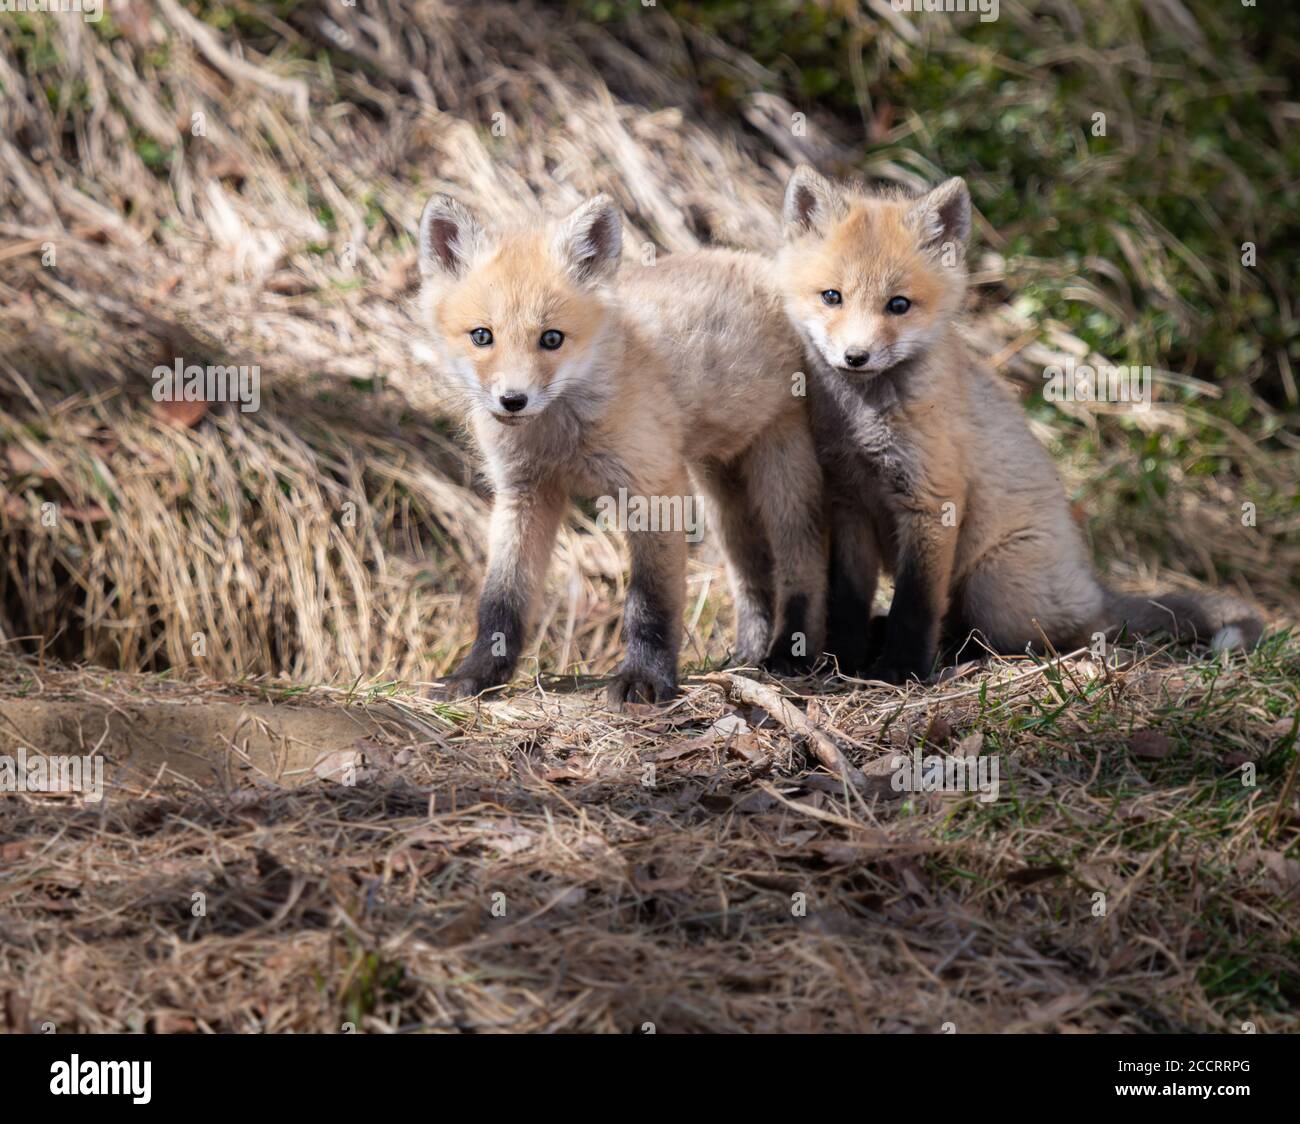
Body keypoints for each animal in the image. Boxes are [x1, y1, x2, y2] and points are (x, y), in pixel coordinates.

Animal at [416, 191, 825, 706]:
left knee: (803, 564)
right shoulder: (524, 493)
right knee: (752, 575)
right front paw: (478, 674)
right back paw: (746, 657)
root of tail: (762, 264)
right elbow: (502, 599)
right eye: (482, 336)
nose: (512, 400)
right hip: (722, 491)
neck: (561, 439)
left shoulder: (654, 487)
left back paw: (789, 657)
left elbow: (650, 601)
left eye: (551, 338)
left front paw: (645, 679)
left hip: (782, 473)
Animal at [777, 165, 1264, 683]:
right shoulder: (849, 504)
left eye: (899, 305)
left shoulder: (933, 501)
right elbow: (847, 601)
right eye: (832, 297)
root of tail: (1094, 587)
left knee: (1054, 634)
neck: (866, 423)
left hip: (991, 584)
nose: (856, 356)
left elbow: (916, 606)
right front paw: (842, 661)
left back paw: (968, 655)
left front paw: (900, 671)